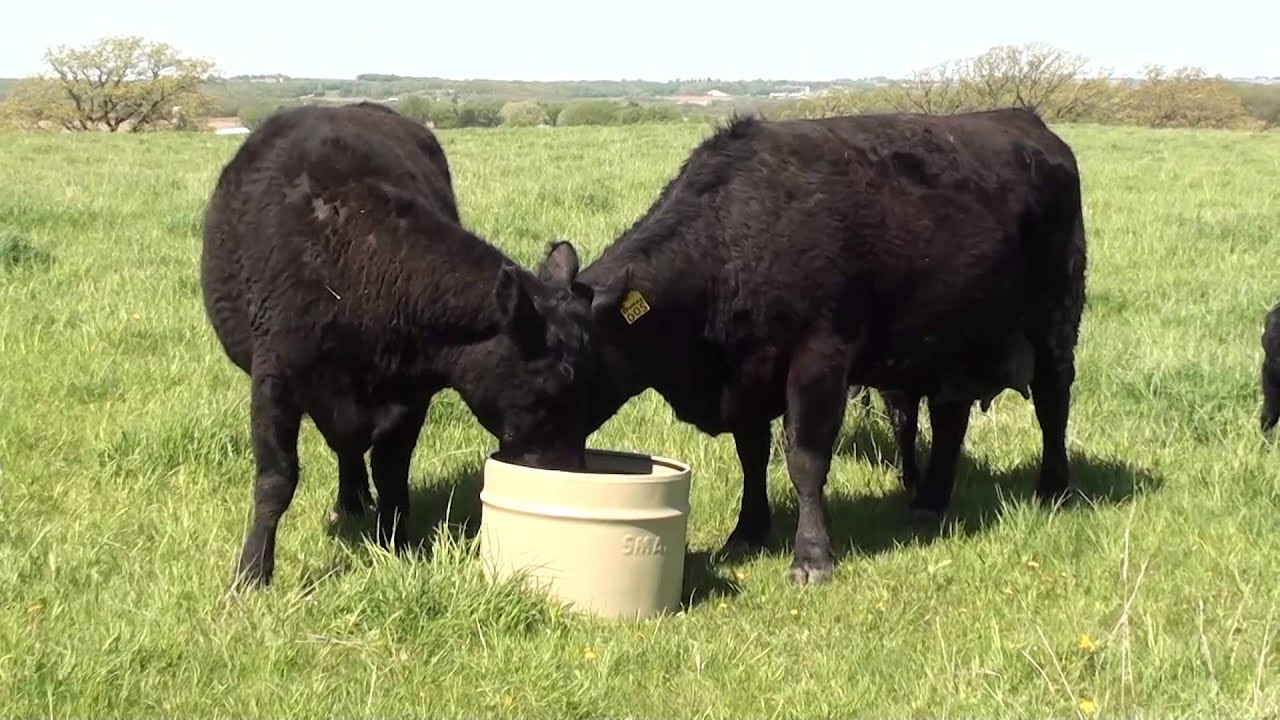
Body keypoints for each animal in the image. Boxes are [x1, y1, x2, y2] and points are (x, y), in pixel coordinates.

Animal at [200, 102, 597, 587]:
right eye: (555, 383)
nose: (571, 475)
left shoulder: (410, 395)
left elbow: (391, 469)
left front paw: (393, 546)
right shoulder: (273, 381)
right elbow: (277, 479)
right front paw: (252, 572)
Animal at [568, 109, 1088, 586]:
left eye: (570, 362)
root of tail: (1025, 118)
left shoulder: (819, 361)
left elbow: (805, 458)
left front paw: (812, 557)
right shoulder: (748, 376)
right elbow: (752, 456)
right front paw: (747, 532)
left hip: (1055, 323)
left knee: (1052, 404)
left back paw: (1052, 490)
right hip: (947, 347)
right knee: (947, 420)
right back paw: (928, 503)